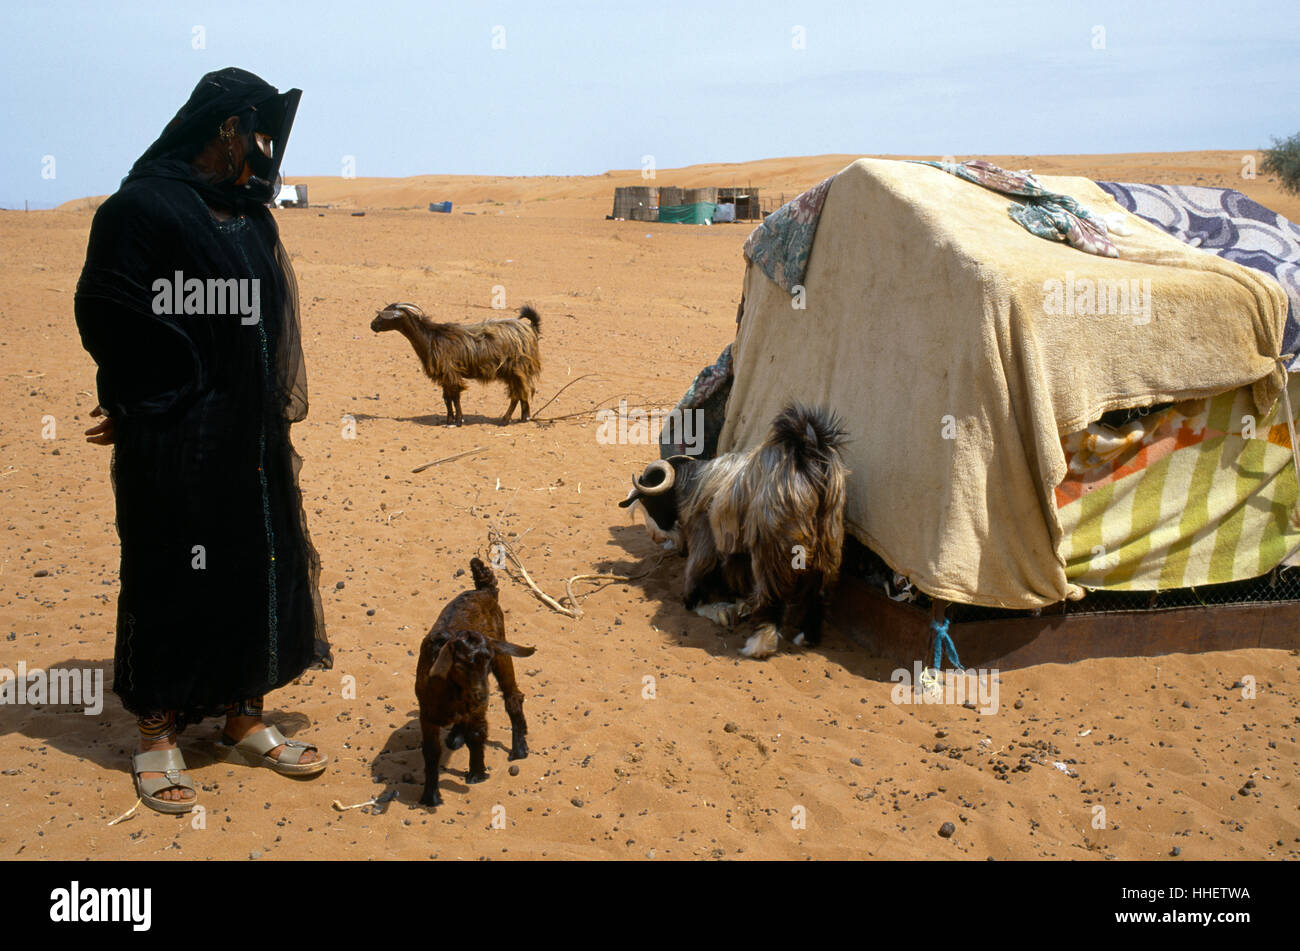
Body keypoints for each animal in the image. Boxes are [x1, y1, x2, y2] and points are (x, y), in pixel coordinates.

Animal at [371, 302, 542, 426]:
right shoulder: (444, 376)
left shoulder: (450, 372)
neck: (431, 337)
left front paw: (459, 421)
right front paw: (449, 420)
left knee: (516, 394)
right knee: (522, 392)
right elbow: (447, 398)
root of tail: (530, 329)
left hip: (515, 369)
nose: (372, 325)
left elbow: (455, 396)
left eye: (384, 316)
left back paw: (505, 420)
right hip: (517, 371)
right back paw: (524, 417)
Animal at [414, 557, 535, 807]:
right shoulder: (427, 714)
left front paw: (477, 774)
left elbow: (477, 735)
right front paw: (430, 797)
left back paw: (519, 749)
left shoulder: (478, 708)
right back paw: (456, 736)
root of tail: (484, 591)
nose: (482, 694)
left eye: (486, 662)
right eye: (460, 665)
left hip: (502, 649)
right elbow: (430, 752)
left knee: (513, 697)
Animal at [619, 402, 848, 659]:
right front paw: (736, 606)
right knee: (819, 592)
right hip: (827, 546)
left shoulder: (705, 543)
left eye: (648, 500)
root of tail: (808, 455)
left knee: (773, 594)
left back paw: (759, 644)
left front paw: (715, 609)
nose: (656, 534)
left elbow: (696, 588)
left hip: (774, 550)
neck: (695, 483)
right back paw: (806, 637)